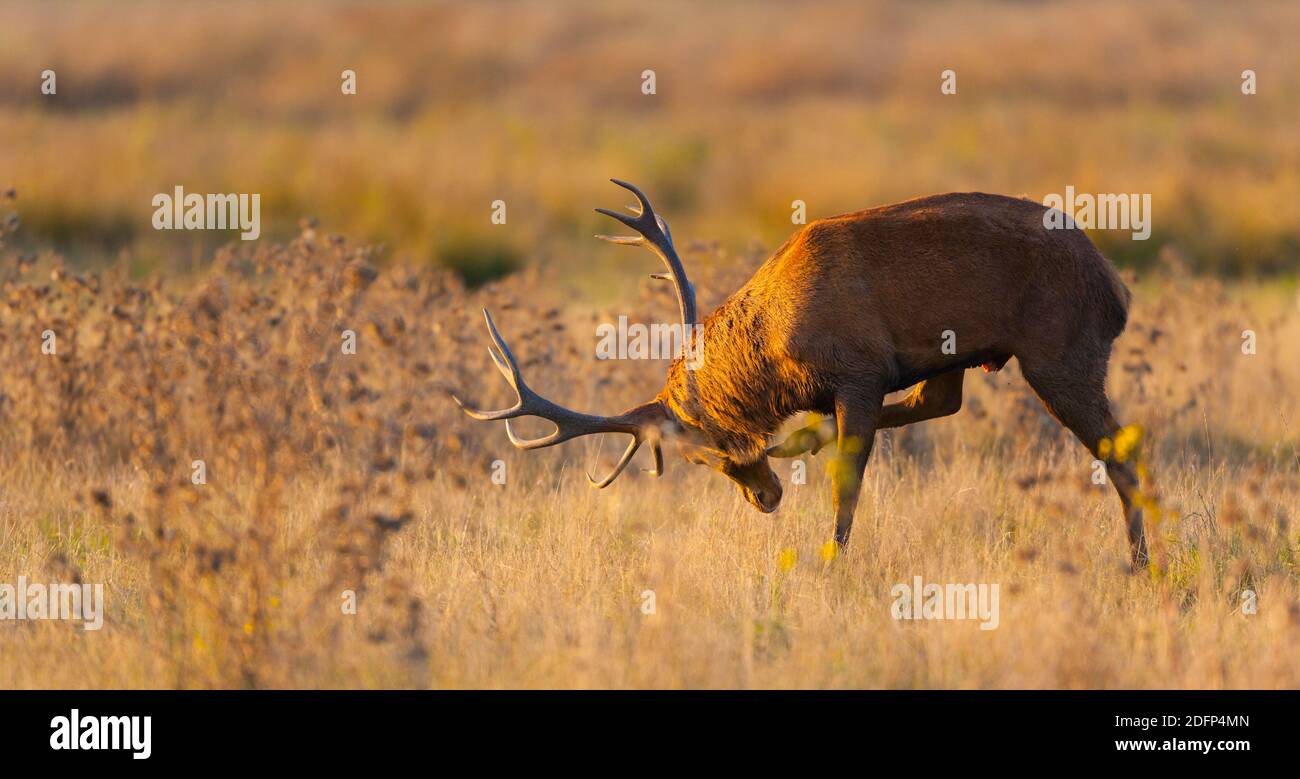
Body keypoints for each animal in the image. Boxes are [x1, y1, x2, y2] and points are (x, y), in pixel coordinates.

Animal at [452, 179, 1149, 570]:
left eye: (702, 455)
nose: (765, 498)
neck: (776, 352)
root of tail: (1117, 289)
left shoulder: (861, 372)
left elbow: (849, 485)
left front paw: (831, 562)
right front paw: (801, 445)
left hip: (1061, 353)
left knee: (1121, 453)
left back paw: (1141, 564)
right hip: (972, 356)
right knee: (943, 399)